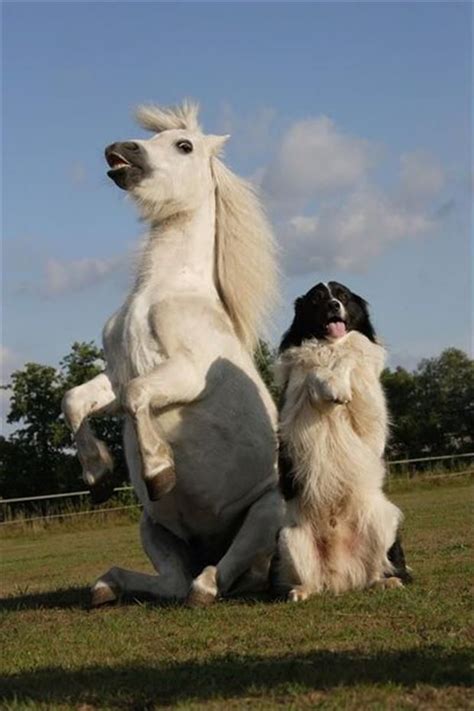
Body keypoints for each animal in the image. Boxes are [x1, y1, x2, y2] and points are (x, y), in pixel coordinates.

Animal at [62, 101, 285, 606]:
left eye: (184, 145)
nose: (119, 150)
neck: (160, 291)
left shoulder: (187, 373)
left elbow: (139, 397)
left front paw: (160, 471)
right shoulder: (115, 375)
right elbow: (76, 399)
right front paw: (98, 477)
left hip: (270, 509)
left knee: (209, 580)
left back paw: (207, 586)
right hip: (153, 527)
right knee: (172, 582)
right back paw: (105, 585)